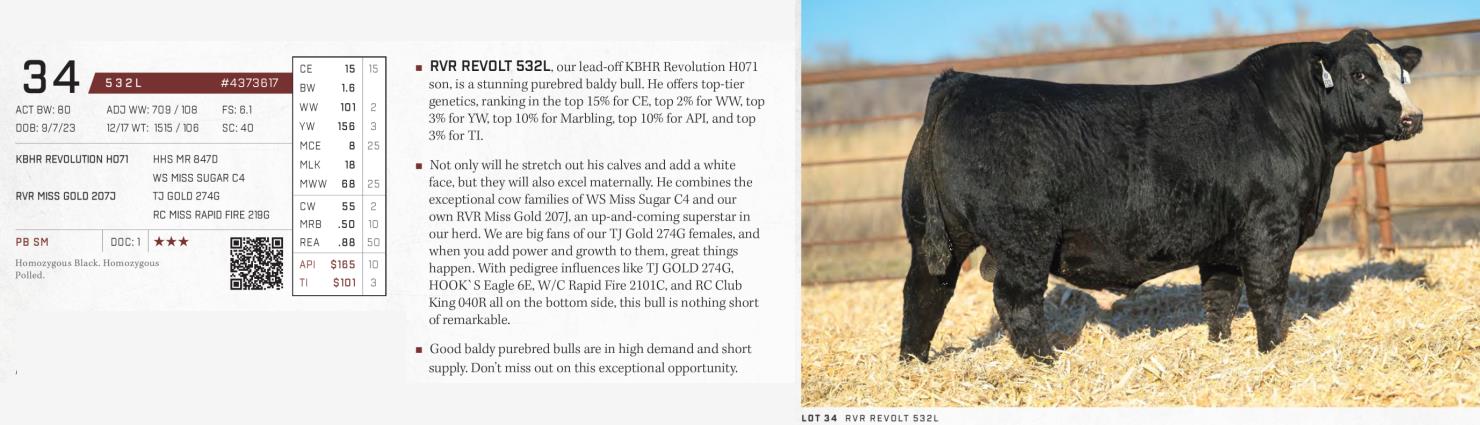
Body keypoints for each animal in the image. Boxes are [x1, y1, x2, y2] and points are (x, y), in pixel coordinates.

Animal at [899, 29, 1423, 362]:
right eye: (1359, 75)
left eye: (1402, 74)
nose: (1413, 117)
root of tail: (963, 80)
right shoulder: (1269, 226)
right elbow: (1268, 293)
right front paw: (1273, 349)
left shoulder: (1223, 242)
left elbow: (1220, 296)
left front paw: (1220, 347)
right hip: (1022, 237)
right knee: (1015, 300)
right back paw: (1045, 362)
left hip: (933, 233)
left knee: (925, 291)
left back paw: (914, 362)